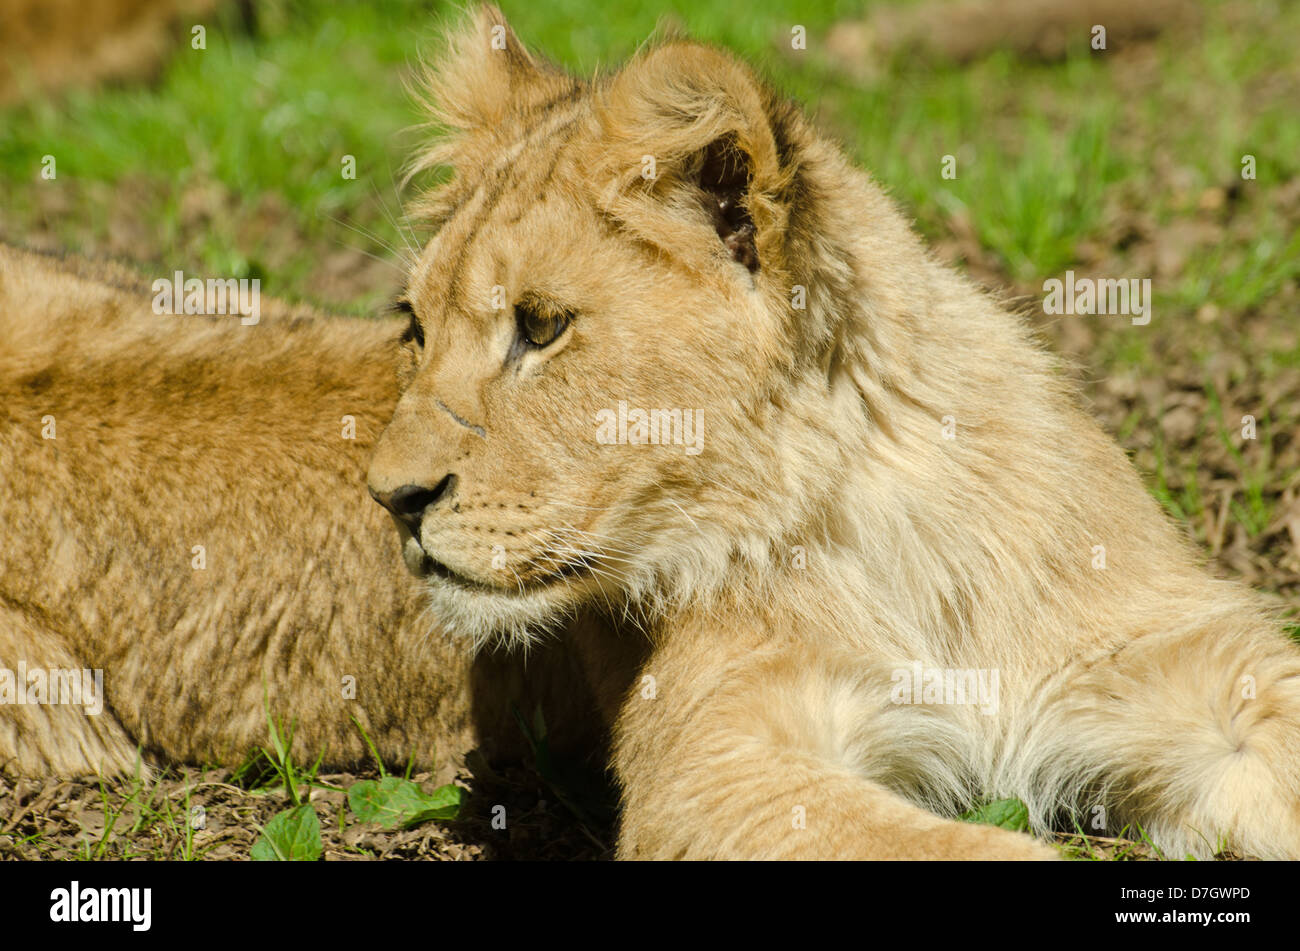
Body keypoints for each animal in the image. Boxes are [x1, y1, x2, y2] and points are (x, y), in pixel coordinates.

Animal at [362, 7, 1300, 860]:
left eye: (542, 326)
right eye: (416, 330)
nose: (392, 498)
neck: (890, 522)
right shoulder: (716, 760)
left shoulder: (1184, 660)